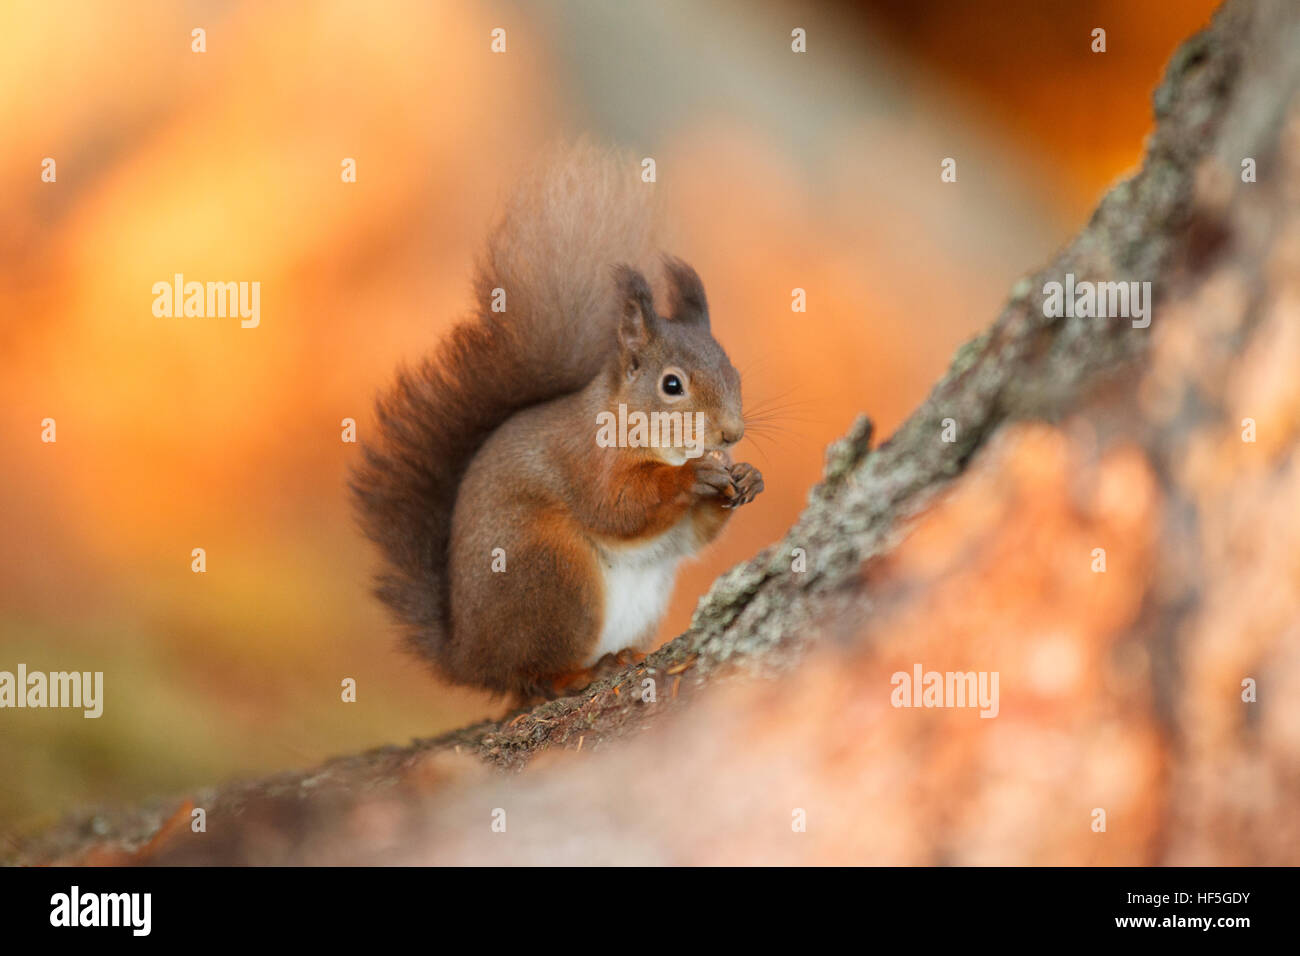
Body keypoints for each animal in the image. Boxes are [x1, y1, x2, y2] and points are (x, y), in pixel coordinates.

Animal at [350, 143, 763, 699]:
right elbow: (617, 506)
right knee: (534, 673)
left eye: (734, 371)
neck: (634, 426)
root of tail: (469, 657)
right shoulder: (584, 458)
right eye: (672, 385)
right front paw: (692, 475)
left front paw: (746, 477)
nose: (731, 433)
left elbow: (694, 536)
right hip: (552, 573)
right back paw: (583, 671)